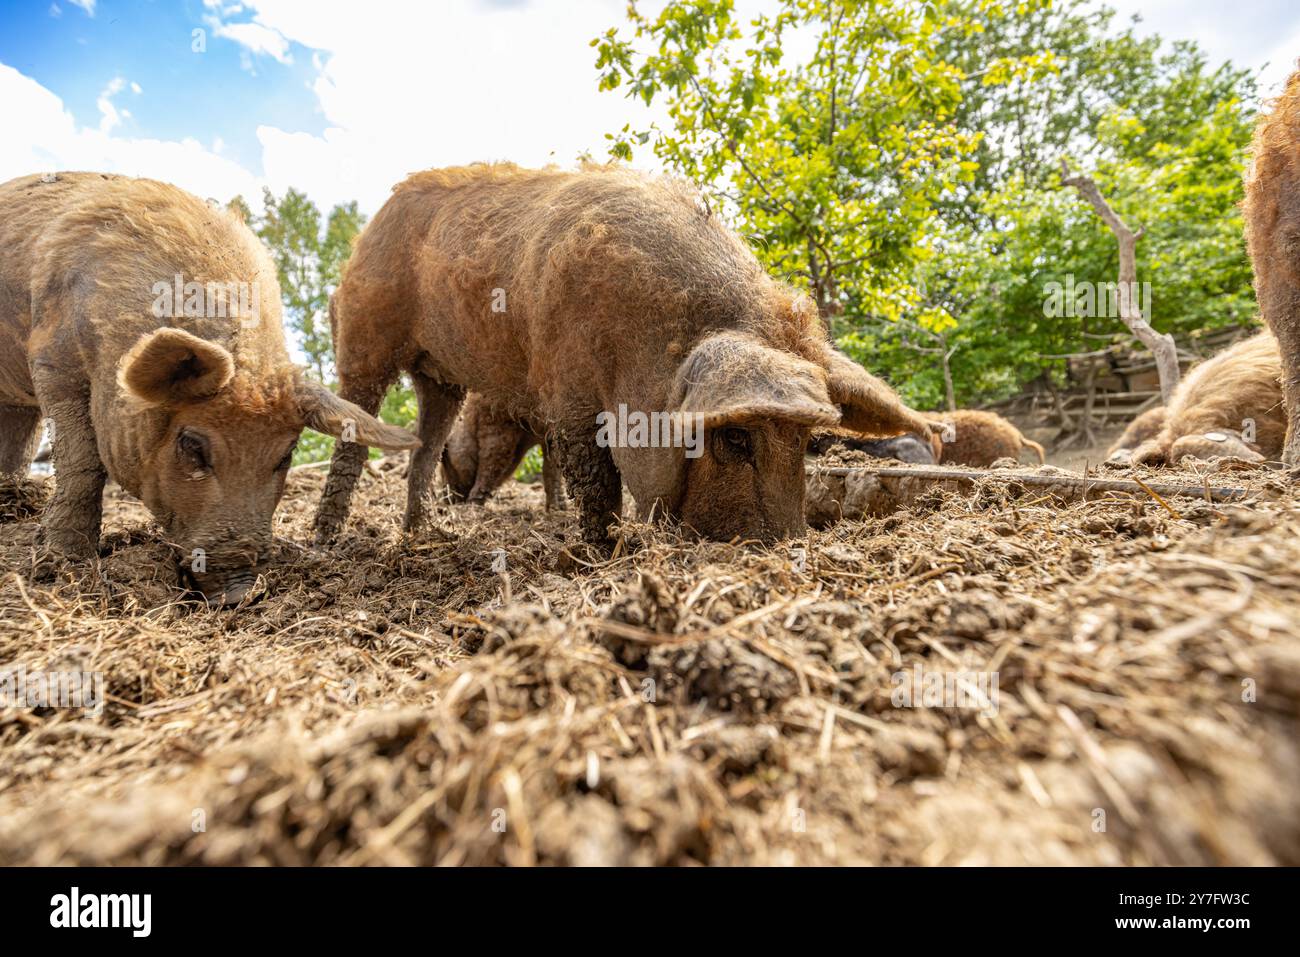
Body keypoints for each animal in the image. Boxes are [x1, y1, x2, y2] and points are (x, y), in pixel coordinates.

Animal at [0, 172, 417, 604]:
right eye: (192, 446)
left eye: (286, 454)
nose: (239, 591)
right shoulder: (52, 359)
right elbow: (83, 462)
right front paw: (65, 560)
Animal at [313, 163, 939, 548]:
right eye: (736, 438)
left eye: (808, 442)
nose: (786, 545)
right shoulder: (565, 387)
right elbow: (594, 480)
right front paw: (599, 553)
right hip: (365, 330)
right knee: (356, 428)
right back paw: (325, 541)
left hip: (440, 375)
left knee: (425, 442)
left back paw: (421, 535)